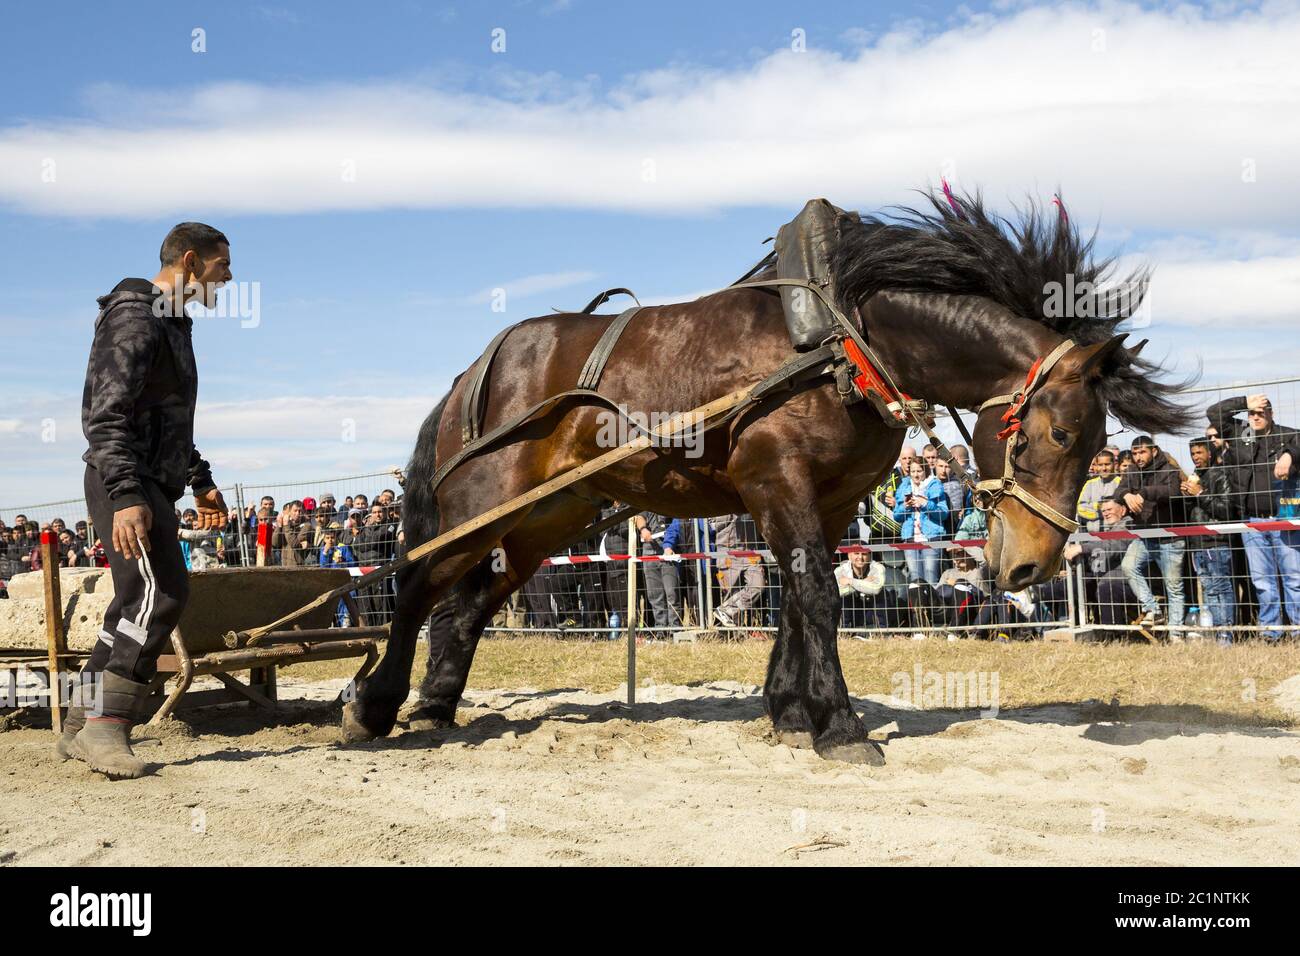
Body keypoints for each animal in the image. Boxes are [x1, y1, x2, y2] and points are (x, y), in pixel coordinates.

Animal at [341, 188, 1196, 764]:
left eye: (1097, 447)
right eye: (1060, 432)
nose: (1032, 566)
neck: (839, 341)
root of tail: (473, 374)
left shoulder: (833, 497)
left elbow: (798, 595)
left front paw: (789, 711)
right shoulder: (775, 477)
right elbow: (816, 593)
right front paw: (840, 727)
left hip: (544, 520)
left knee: (470, 602)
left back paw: (435, 706)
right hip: (483, 505)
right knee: (416, 584)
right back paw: (373, 708)